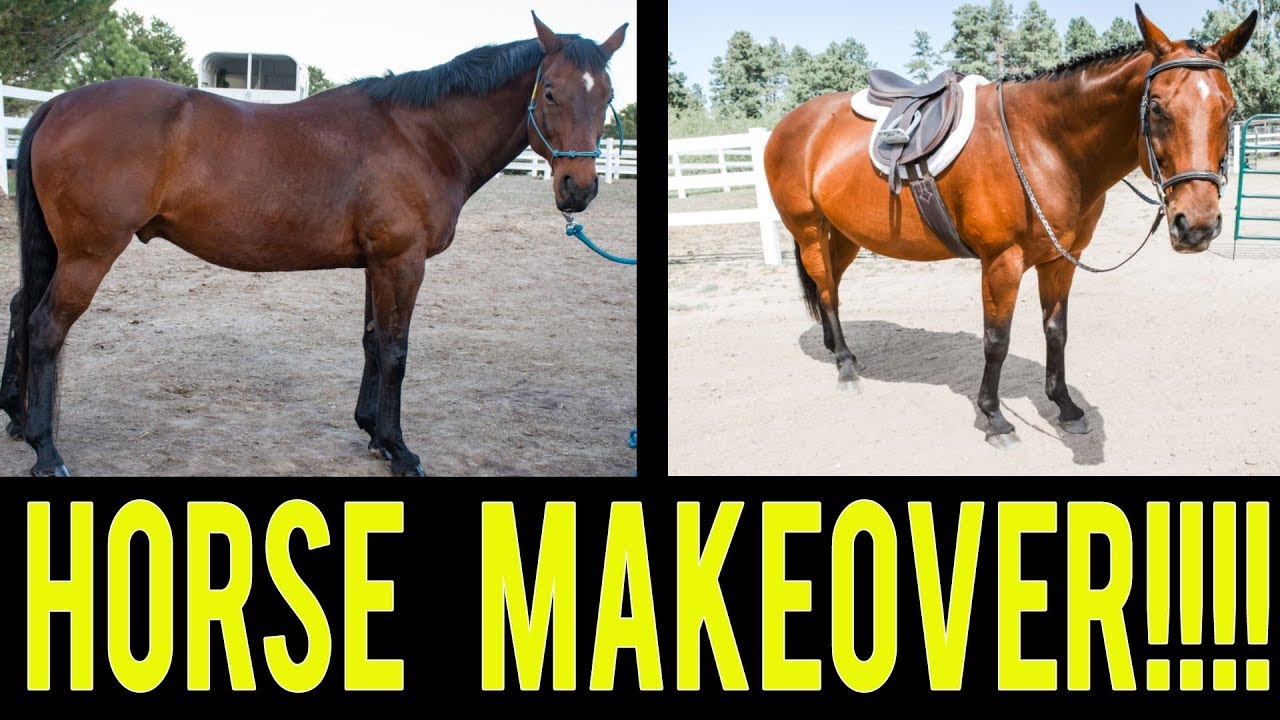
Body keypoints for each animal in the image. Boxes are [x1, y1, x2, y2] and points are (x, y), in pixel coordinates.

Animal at [0, 12, 628, 477]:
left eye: (606, 96)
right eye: (551, 92)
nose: (578, 189)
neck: (421, 135)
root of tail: (59, 102)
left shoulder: (378, 263)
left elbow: (374, 342)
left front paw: (374, 434)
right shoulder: (403, 262)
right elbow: (396, 351)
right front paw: (401, 451)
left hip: (59, 251)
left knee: (20, 307)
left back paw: (18, 418)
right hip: (88, 254)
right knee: (45, 327)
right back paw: (47, 452)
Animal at [764, 5, 1256, 448]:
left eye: (1230, 109)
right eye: (1155, 107)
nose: (1197, 225)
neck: (1044, 142)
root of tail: (790, 124)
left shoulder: (1061, 259)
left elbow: (1056, 331)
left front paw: (1065, 406)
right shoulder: (1001, 263)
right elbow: (996, 341)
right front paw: (994, 417)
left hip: (845, 234)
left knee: (829, 286)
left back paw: (835, 348)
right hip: (809, 230)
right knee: (826, 289)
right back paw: (846, 365)